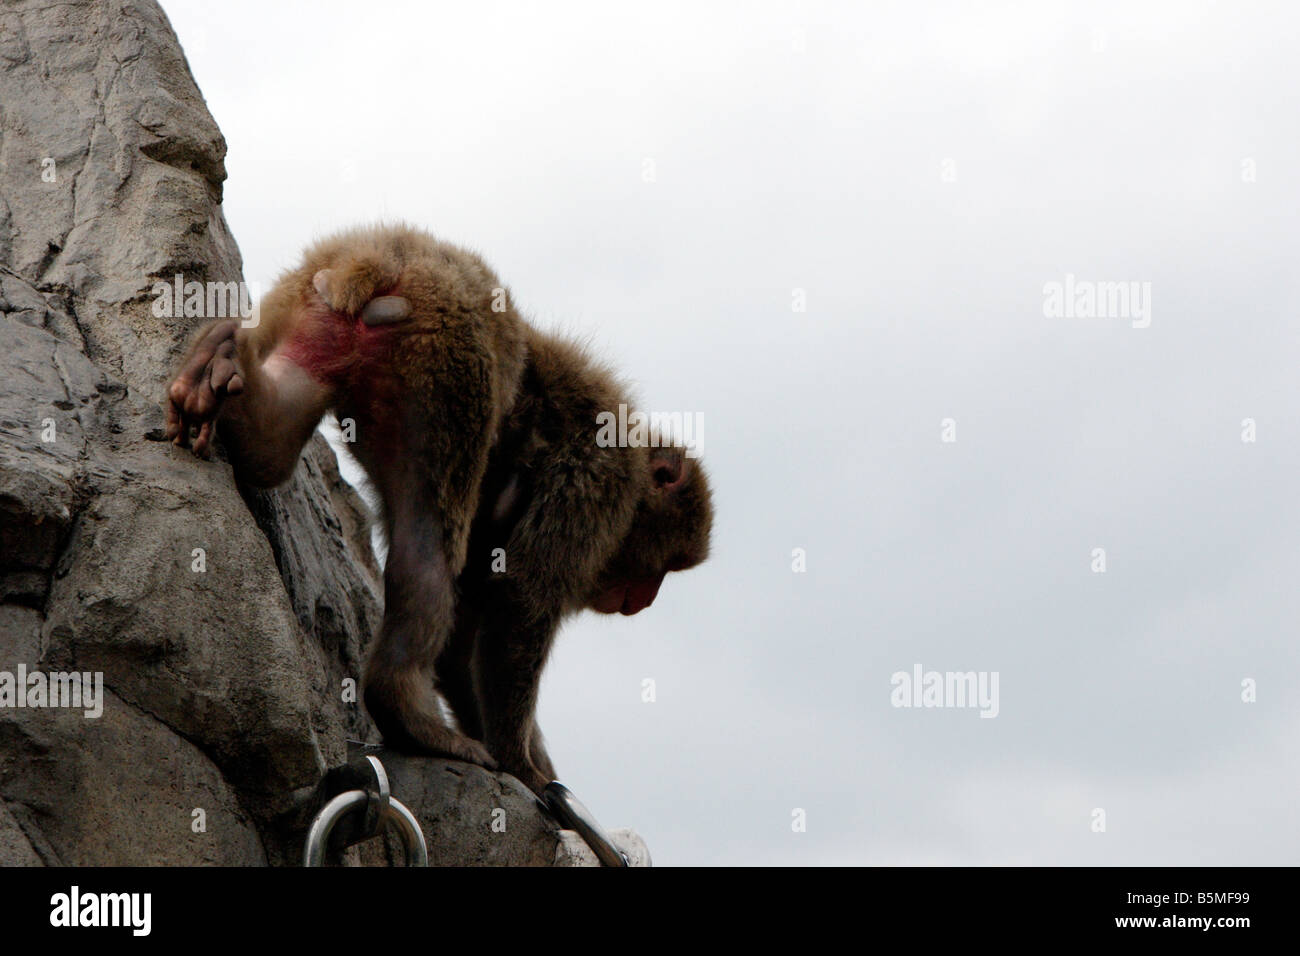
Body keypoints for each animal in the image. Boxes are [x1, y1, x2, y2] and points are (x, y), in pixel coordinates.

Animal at [164, 223, 712, 794]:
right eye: (666, 566)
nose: (645, 598)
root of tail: (377, 259)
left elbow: (468, 627)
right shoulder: (596, 488)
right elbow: (520, 603)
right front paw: (525, 767)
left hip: (309, 313)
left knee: (277, 441)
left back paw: (226, 373)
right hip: (446, 359)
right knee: (427, 550)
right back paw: (407, 711)